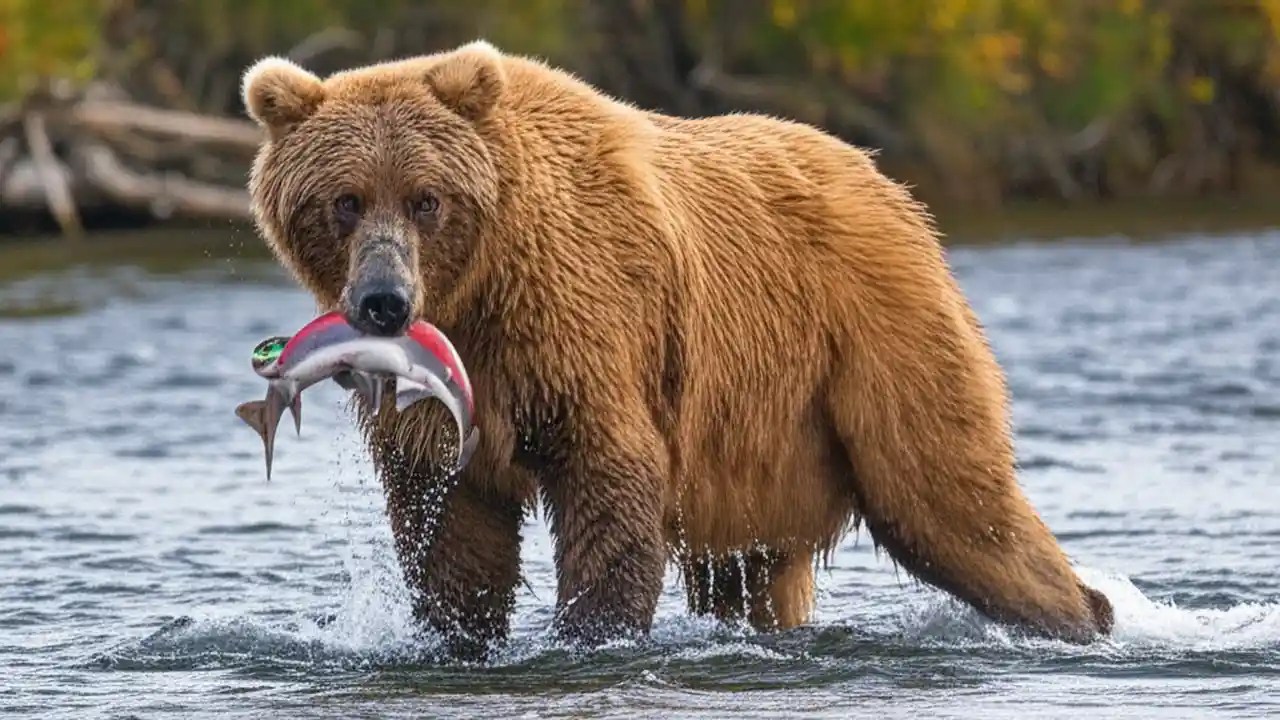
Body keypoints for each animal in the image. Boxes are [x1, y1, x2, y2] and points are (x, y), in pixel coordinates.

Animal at [239, 39, 1115, 657]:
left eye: (427, 198)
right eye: (345, 201)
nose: (384, 301)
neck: (481, 294)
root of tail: (885, 181)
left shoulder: (580, 325)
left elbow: (608, 479)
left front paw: (592, 633)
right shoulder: (448, 394)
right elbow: (451, 520)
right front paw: (458, 634)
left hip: (875, 332)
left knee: (949, 499)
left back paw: (1084, 614)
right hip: (761, 445)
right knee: (754, 570)